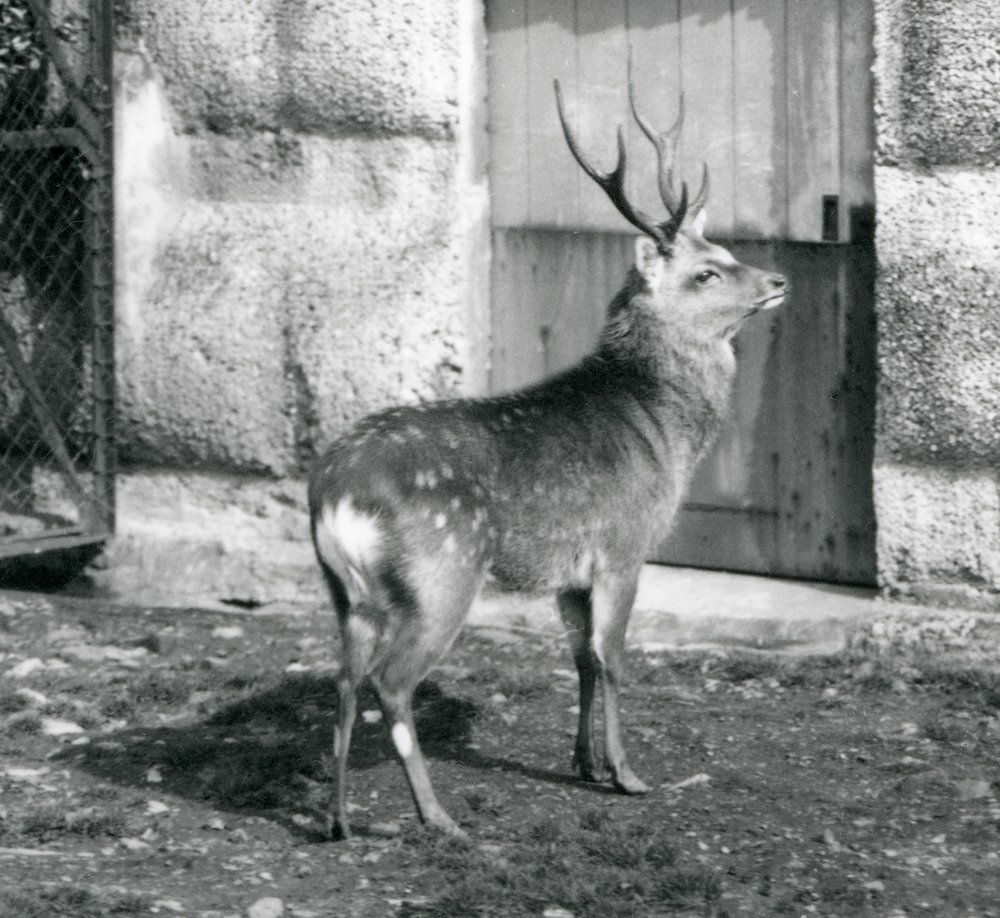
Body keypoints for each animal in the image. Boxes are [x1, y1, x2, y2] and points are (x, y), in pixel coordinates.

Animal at [308, 66, 787, 840]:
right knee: (392, 682)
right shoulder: (624, 543)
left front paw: (583, 763)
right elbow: (613, 658)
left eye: (726, 253)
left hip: (344, 590)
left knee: (346, 679)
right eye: (707, 273)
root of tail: (333, 493)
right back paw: (438, 817)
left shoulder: (569, 570)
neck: (663, 430)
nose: (777, 280)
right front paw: (627, 775)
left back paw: (341, 820)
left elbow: (580, 661)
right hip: (442, 569)